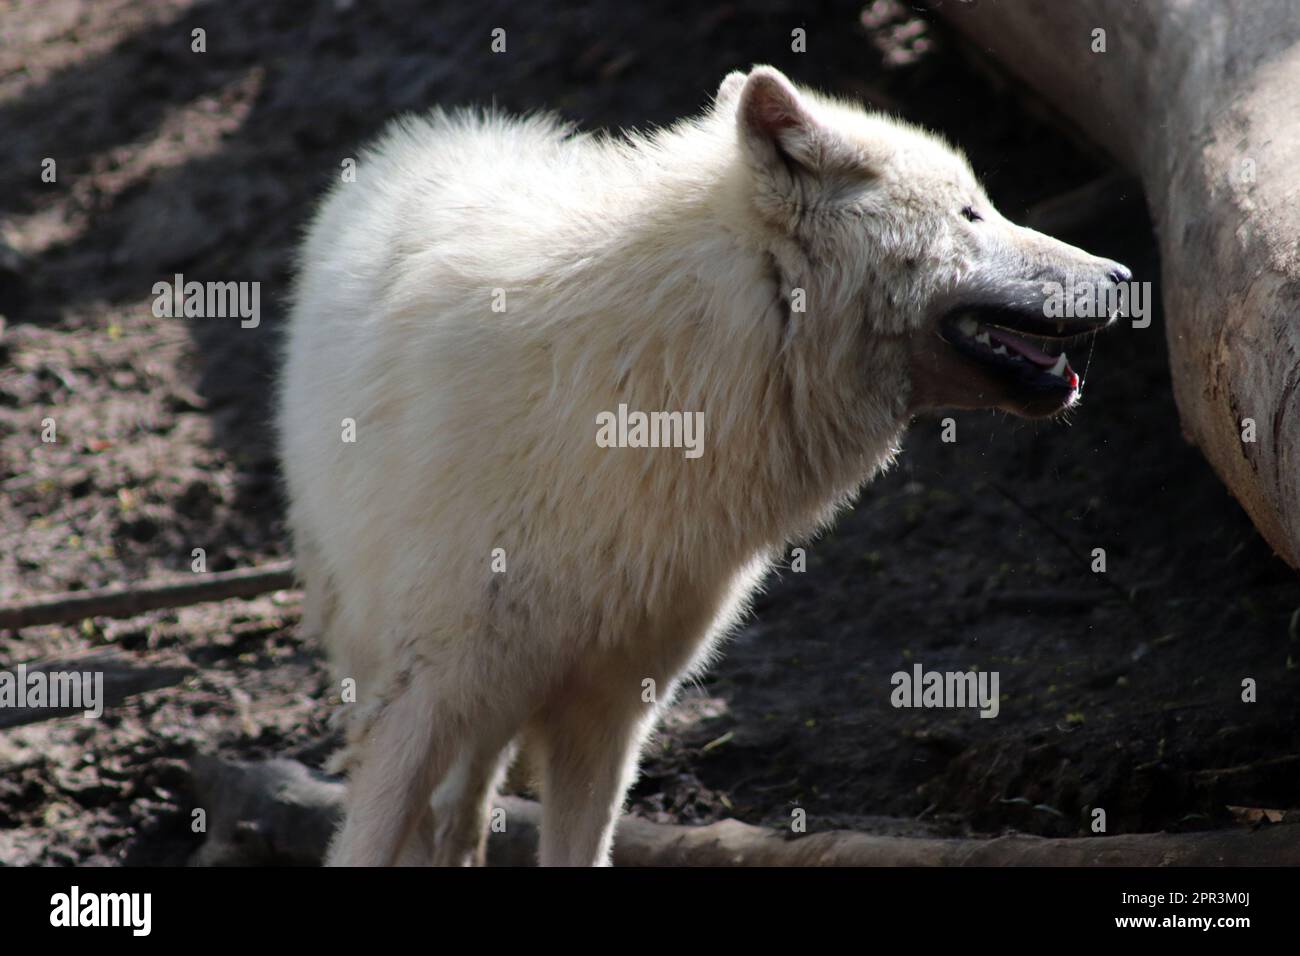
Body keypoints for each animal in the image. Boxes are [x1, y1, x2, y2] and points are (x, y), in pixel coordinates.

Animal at [276, 65, 1129, 866]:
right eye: (970, 213)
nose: (1123, 277)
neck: (648, 388)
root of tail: (442, 128)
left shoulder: (611, 707)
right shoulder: (416, 702)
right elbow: (372, 843)